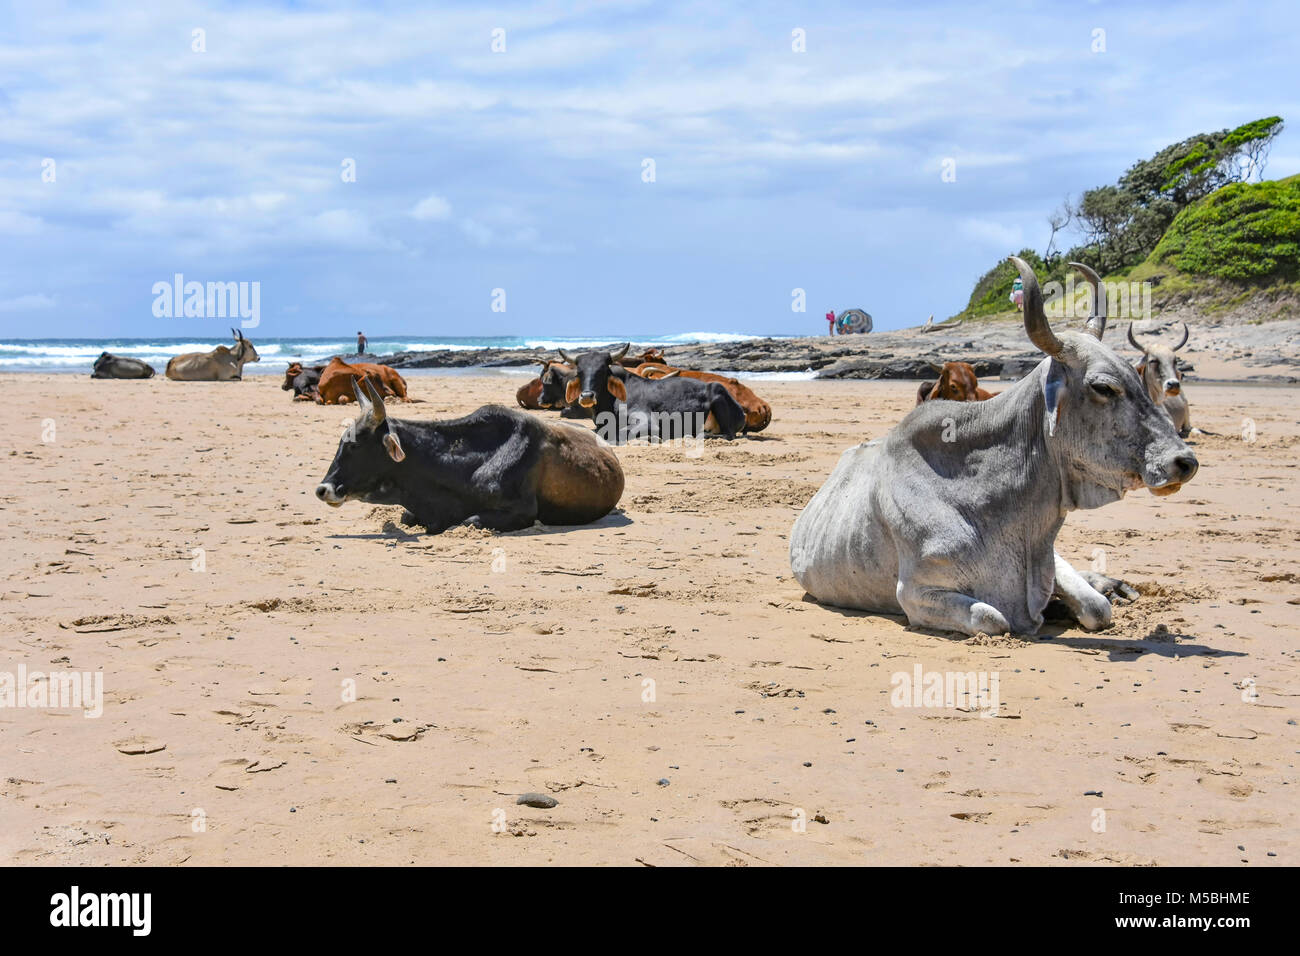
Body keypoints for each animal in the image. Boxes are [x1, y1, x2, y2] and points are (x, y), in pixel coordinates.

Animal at [564, 344, 747, 442]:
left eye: (602, 371)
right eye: (579, 372)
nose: (587, 396)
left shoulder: (648, 422)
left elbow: (620, 433)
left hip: (718, 396)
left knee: (728, 434)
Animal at [789, 258, 1198, 637]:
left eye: (1137, 375)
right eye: (1103, 387)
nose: (1185, 462)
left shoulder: (1047, 559)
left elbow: (1097, 609)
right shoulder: (916, 594)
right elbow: (995, 620)